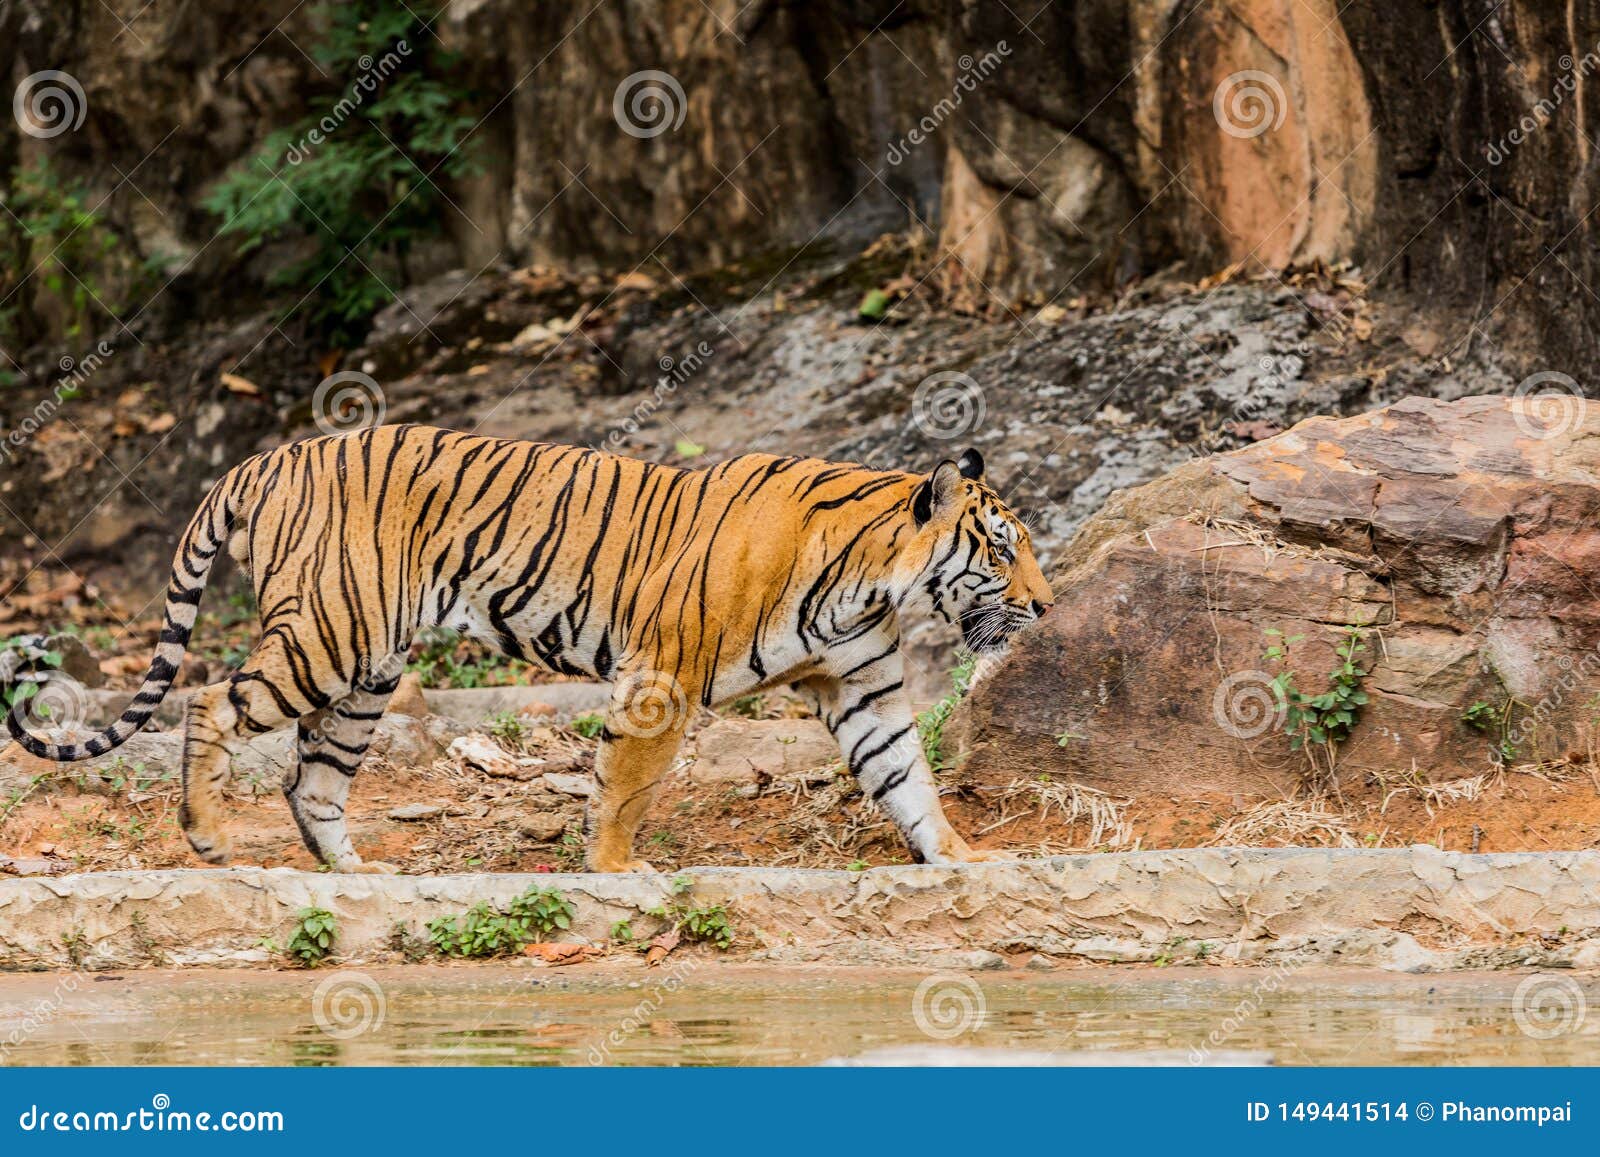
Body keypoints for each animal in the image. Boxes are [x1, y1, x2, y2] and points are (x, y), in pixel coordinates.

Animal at [6, 425, 1054, 873]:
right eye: (1003, 550)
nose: (1044, 607)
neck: (873, 578)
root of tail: (265, 456)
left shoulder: (864, 687)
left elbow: (907, 777)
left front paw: (961, 858)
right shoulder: (661, 678)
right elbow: (627, 785)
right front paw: (619, 873)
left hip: (370, 662)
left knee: (312, 774)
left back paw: (356, 876)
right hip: (328, 634)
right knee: (211, 701)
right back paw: (206, 832)